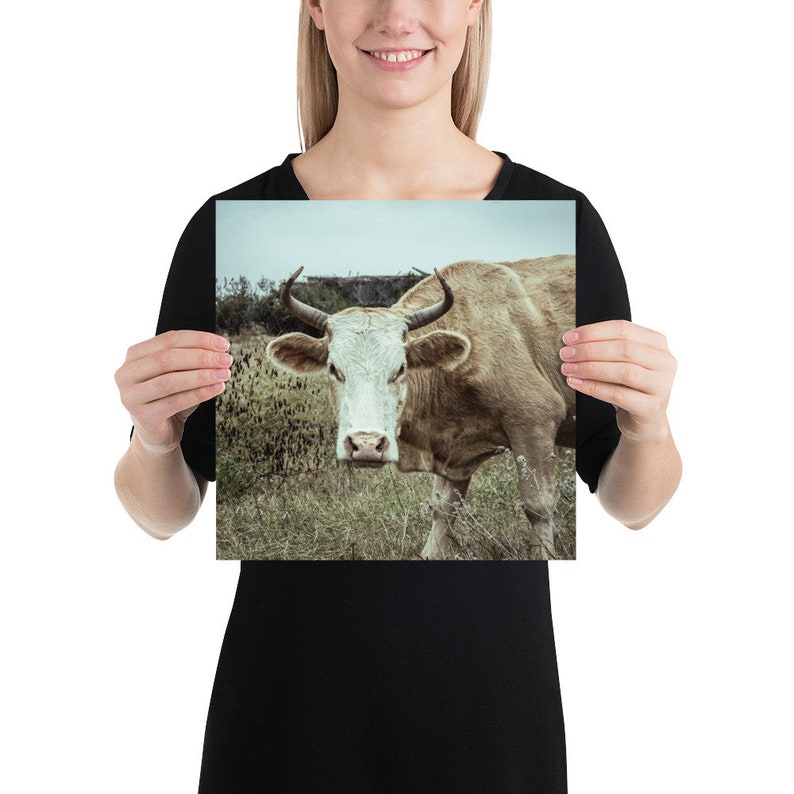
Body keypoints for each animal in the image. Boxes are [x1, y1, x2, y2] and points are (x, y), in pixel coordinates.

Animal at [265, 257, 575, 560]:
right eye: (333, 368)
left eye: (400, 368)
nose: (366, 445)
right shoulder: (455, 453)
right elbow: (443, 509)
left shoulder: (533, 424)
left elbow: (538, 505)